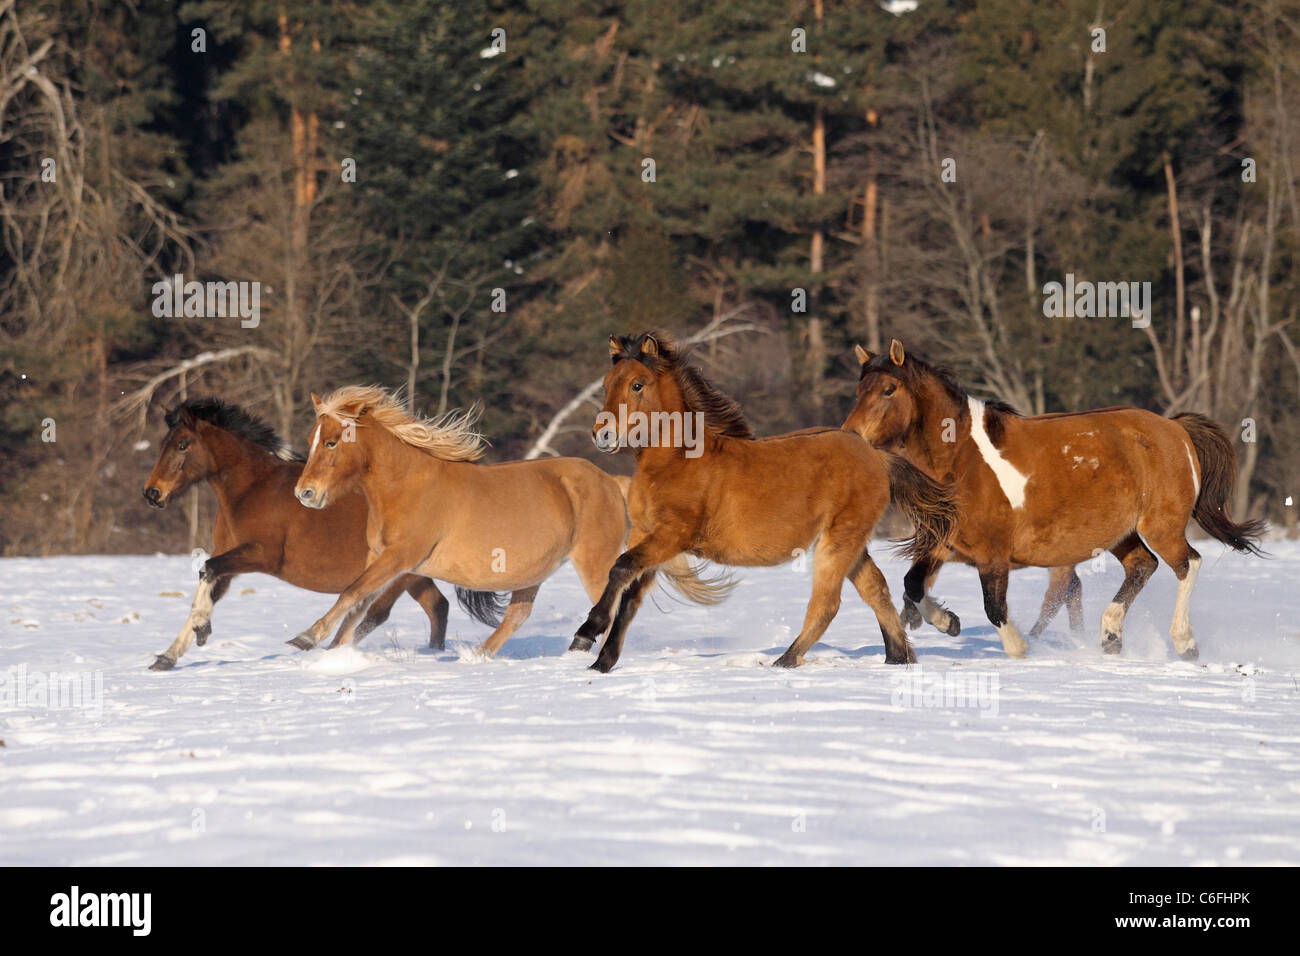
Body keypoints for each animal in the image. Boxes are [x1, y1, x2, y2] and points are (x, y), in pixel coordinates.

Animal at [142, 398, 464, 670]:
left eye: (182, 445)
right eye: (163, 444)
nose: (152, 493)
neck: (252, 489)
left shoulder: (262, 556)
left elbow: (207, 569)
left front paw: (201, 627)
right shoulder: (231, 563)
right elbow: (207, 583)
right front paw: (169, 655)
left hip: (394, 575)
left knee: (379, 613)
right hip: (412, 576)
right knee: (437, 606)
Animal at [287, 386, 723, 656]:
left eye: (332, 442)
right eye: (312, 439)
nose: (304, 493)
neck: (408, 485)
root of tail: (610, 482)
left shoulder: (400, 558)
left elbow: (352, 594)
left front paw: (307, 637)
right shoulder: (387, 561)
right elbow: (359, 604)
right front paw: (332, 651)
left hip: (594, 561)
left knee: (610, 608)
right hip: (533, 571)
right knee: (518, 615)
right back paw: (478, 657)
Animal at [570, 331, 960, 673]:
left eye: (637, 384)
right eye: (607, 384)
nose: (602, 435)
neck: (678, 461)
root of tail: (875, 454)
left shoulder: (672, 535)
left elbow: (620, 569)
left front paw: (587, 632)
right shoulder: (647, 536)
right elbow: (630, 596)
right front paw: (601, 661)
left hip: (840, 540)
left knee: (827, 603)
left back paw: (785, 661)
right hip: (851, 543)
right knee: (875, 590)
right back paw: (899, 655)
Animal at [843, 339, 1265, 660]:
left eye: (888, 390)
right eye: (858, 391)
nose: (851, 438)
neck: (963, 458)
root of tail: (1175, 428)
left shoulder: (993, 556)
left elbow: (994, 608)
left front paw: (1019, 648)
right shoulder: (944, 544)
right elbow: (912, 584)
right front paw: (949, 622)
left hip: (1161, 525)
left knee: (1187, 564)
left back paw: (1184, 642)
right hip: (1119, 532)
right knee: (1142, 566)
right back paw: (1110, 636)